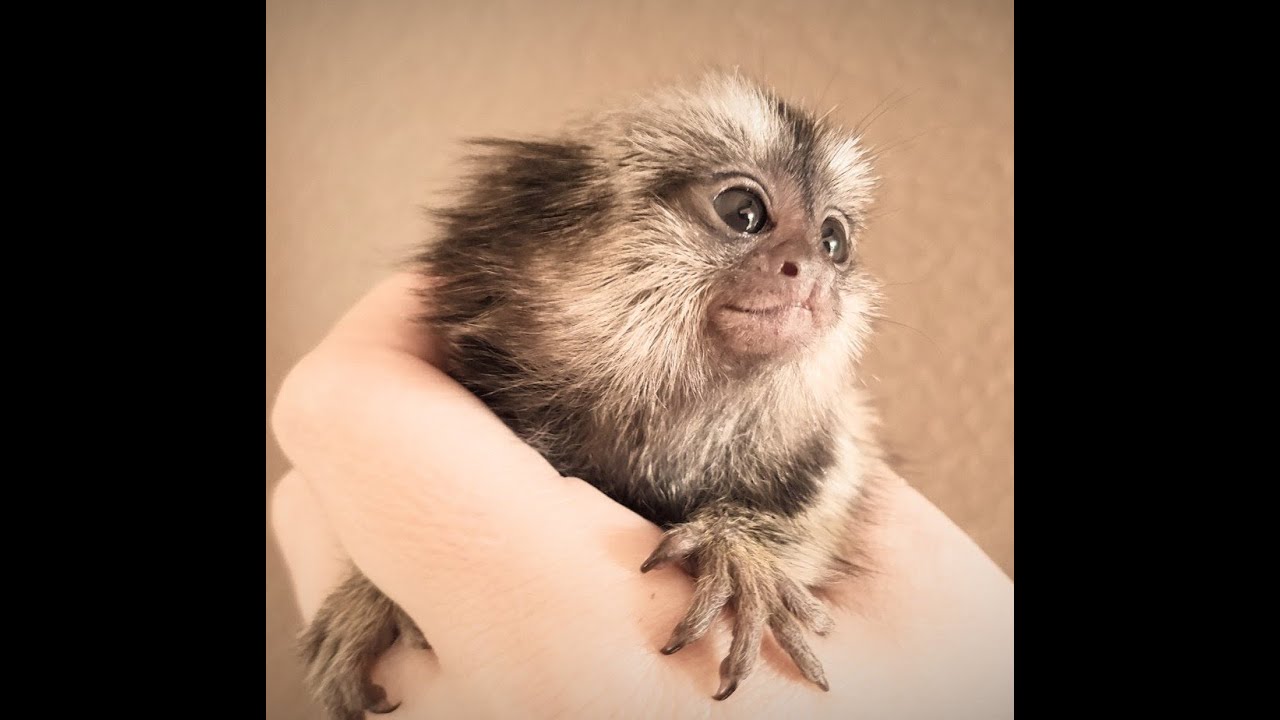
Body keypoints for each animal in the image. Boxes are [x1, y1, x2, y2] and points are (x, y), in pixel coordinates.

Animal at [297, 70, 901, 720]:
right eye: (742, 211)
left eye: (833, 241)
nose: (812, 270)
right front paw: (366, 595)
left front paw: (743, 550)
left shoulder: (828, 456)